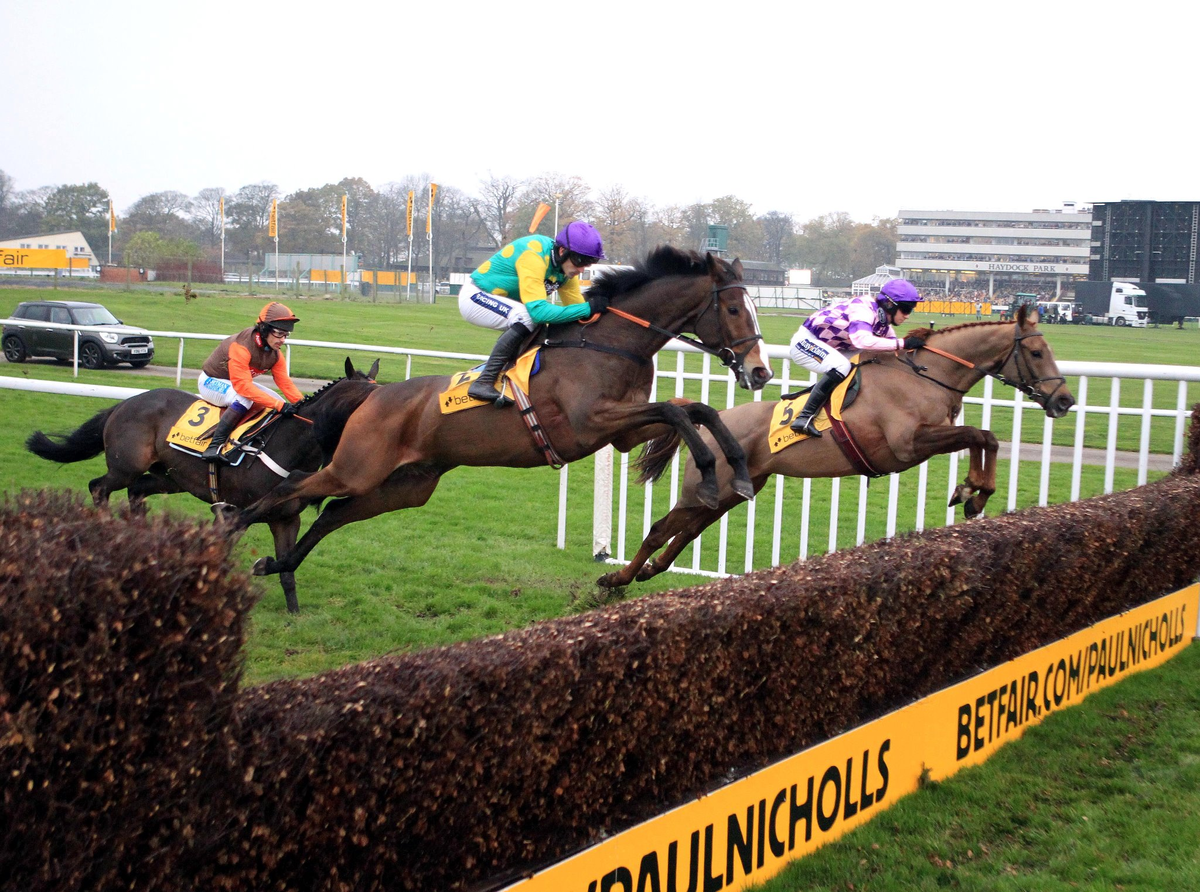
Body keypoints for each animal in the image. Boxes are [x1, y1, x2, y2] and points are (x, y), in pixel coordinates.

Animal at [24, 357, 379, 614]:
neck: (286, 446)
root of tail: (124, 404)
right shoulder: (235, 512)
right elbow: (218, 552)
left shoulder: (285, 519)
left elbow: (287, 570)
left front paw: (294, 614)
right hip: (126, 466)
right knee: (99, 486)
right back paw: (107, 530)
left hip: (169, 477)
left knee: (137, 491)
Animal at [219, 246, 772, 578]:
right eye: (733, 309)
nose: (760, 371)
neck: (606, 343)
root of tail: (375, 395)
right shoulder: (590, 425)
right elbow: (679, 414)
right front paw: (709, 477)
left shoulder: (621, 431)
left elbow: (694, 409)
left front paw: (740, 474)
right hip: (356, 467)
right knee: (293, 487)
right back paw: (235, 522)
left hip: (404, 486)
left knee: (333, 513)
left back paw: (277, 564)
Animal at [595, 307, 1075, 585]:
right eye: (1036, 353)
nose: (1064, 400)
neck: (925, 374)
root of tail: (715, 421)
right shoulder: (909, 445)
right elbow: (978, 435)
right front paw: (973, 490)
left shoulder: (929, 438)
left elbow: (984, 437)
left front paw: (974, 493)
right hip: (702, 490)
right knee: (661, 529)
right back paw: (616, 580)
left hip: (732, 493)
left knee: (688, 530)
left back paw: (650, 571)